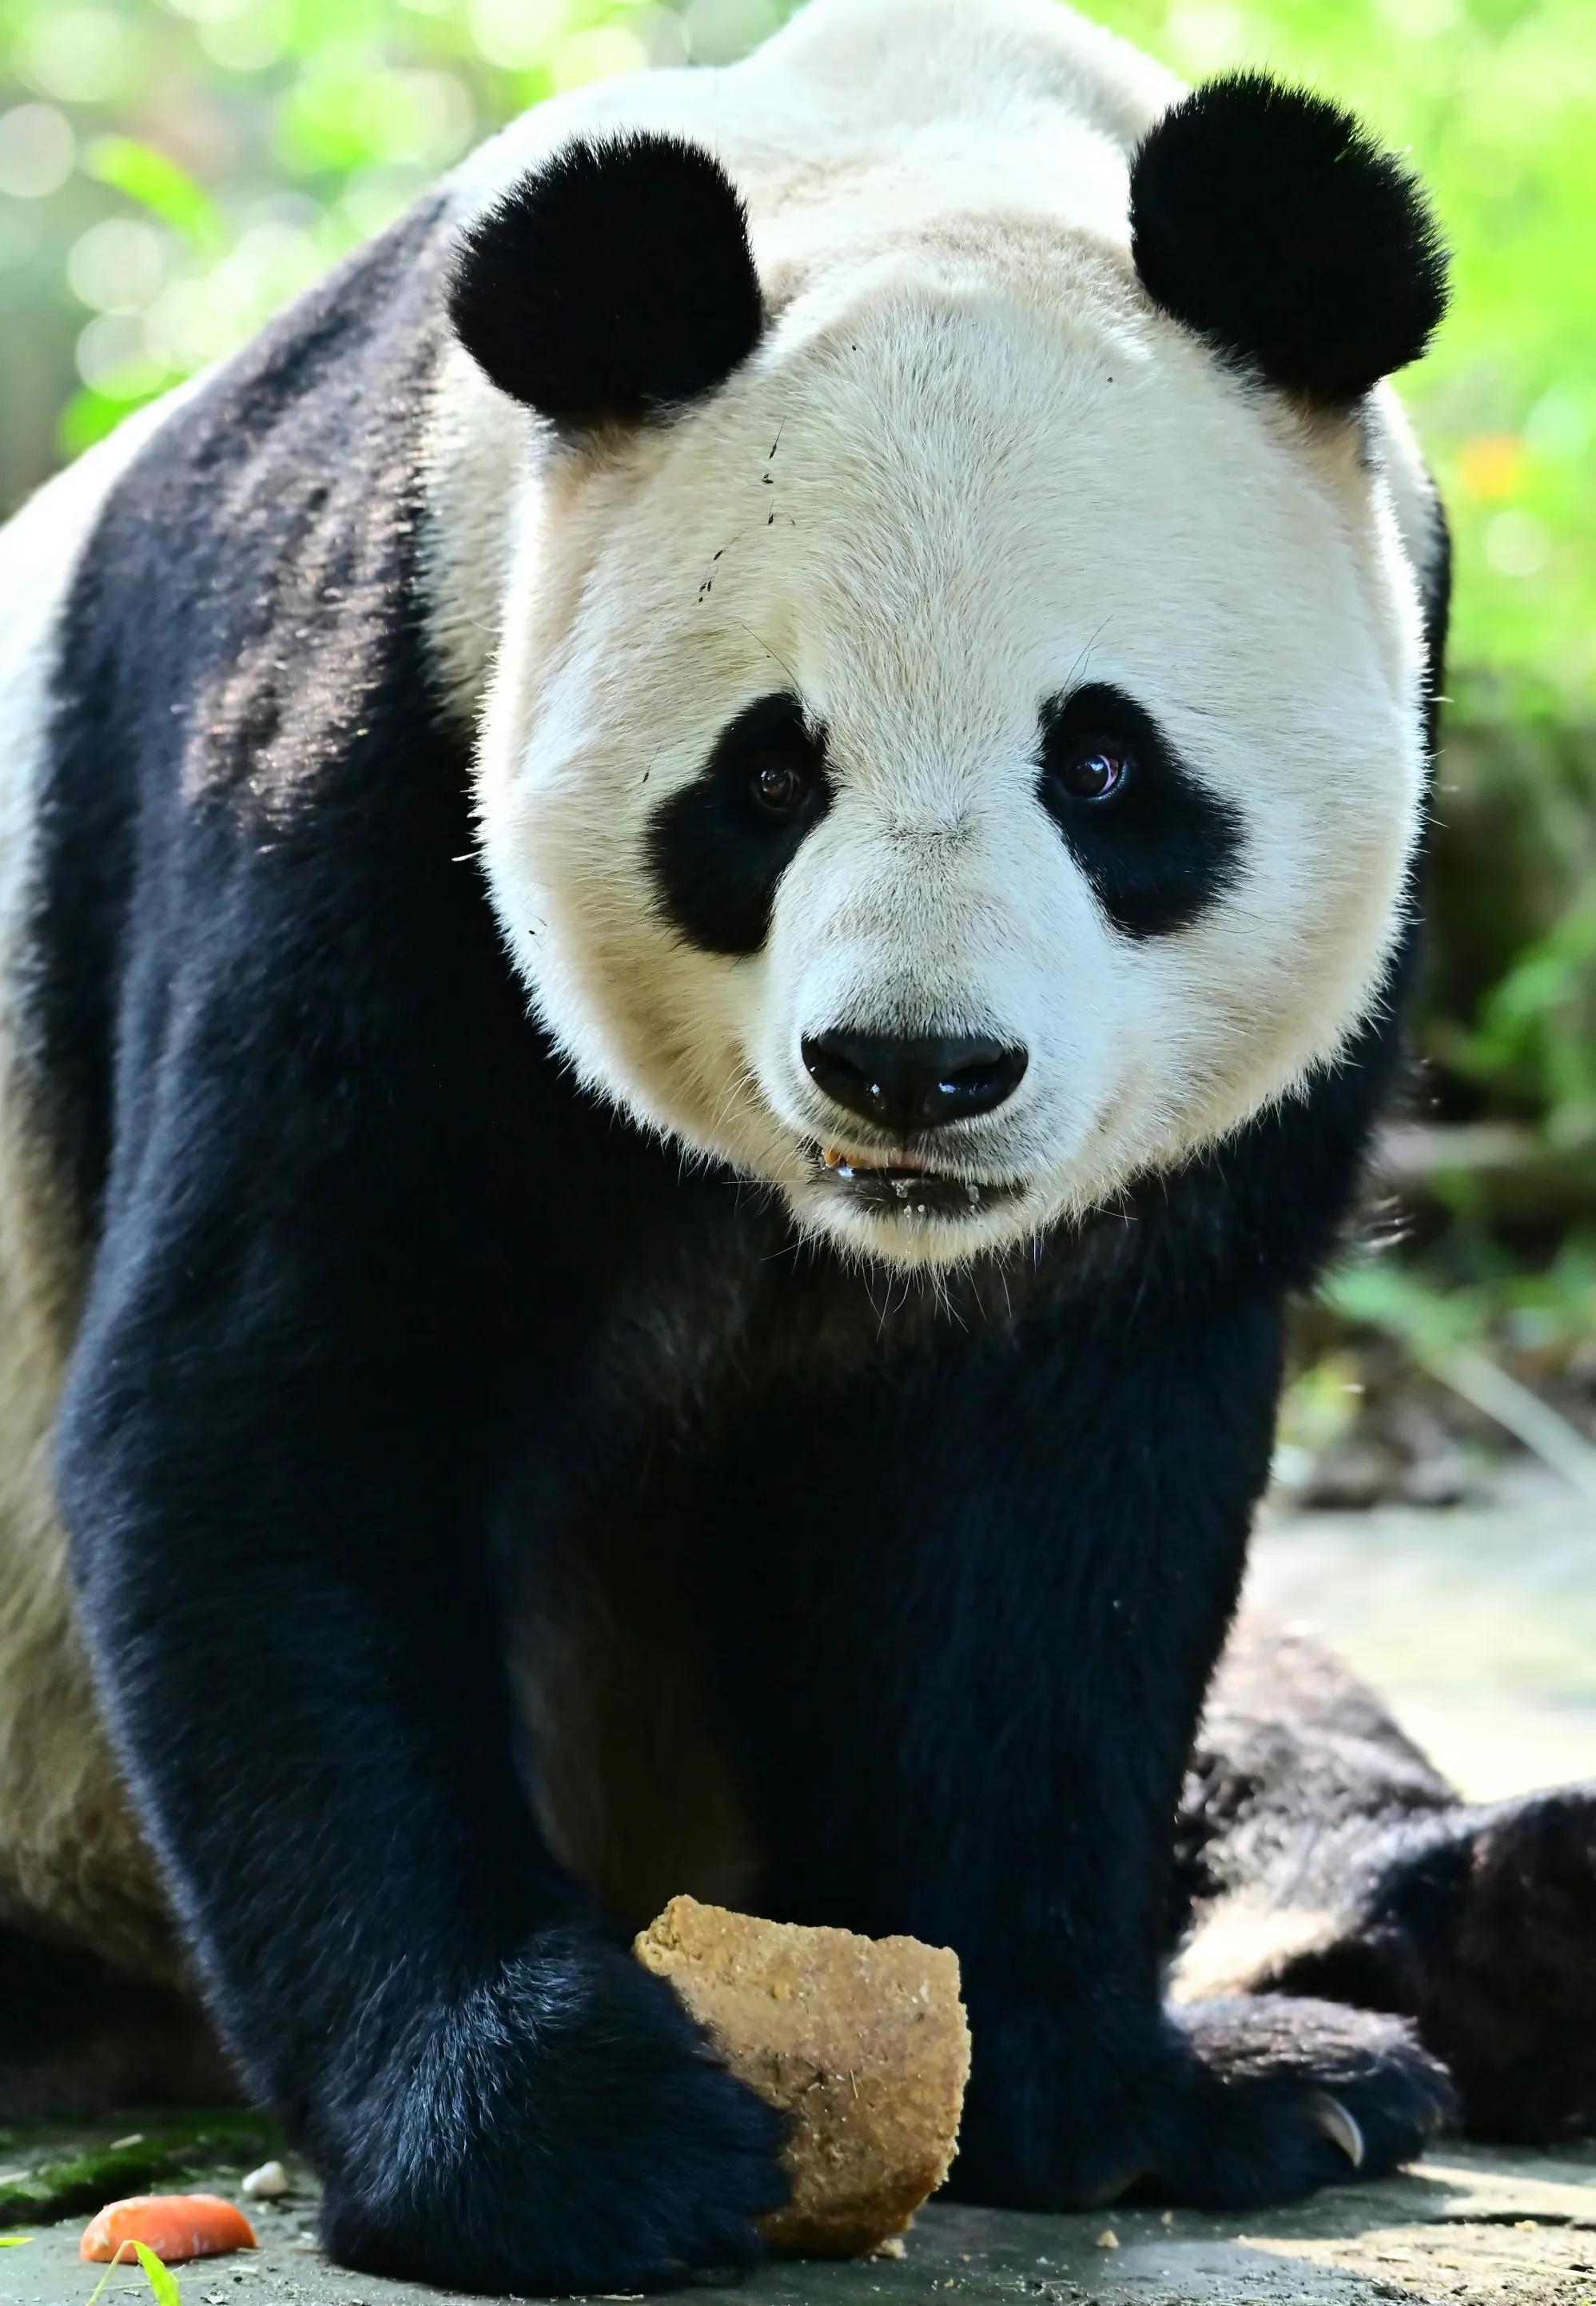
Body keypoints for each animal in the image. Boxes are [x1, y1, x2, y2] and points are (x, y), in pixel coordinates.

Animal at [1, 0, 1593, 2289]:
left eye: (1099, 763)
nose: (911, 1071)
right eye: (763, 777)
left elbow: (1050, 1522)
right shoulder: (372, 755)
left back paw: (1444, 1963)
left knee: (1291, 1706)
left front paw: (1088, 2098)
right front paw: (562, 2131)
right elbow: (284, 1400)